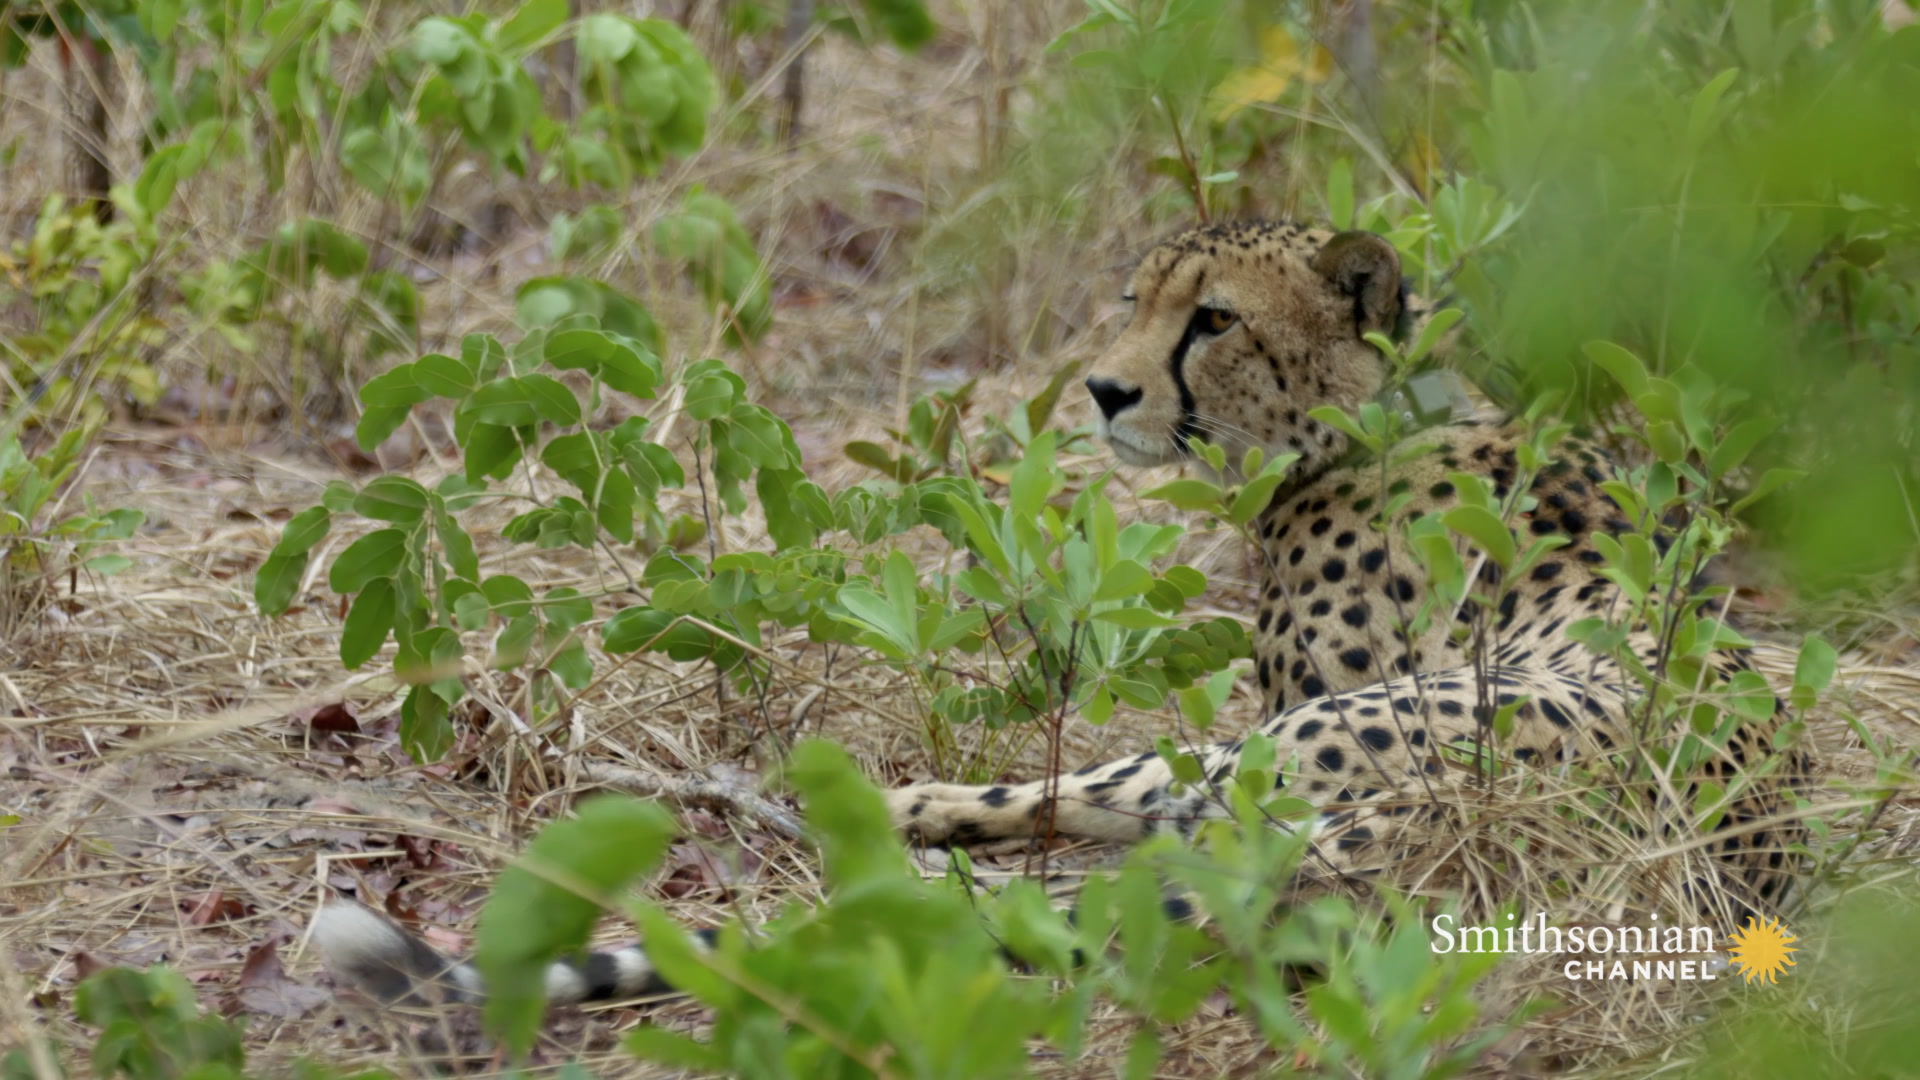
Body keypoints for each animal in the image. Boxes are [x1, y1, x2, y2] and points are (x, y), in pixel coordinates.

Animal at [313, 221, 1808, 1010]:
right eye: (1139, 297)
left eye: (1213, 321)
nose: (1102, 390)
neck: (1374, 419)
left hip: (1284, 755)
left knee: (1059, 815)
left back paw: (830, 812)